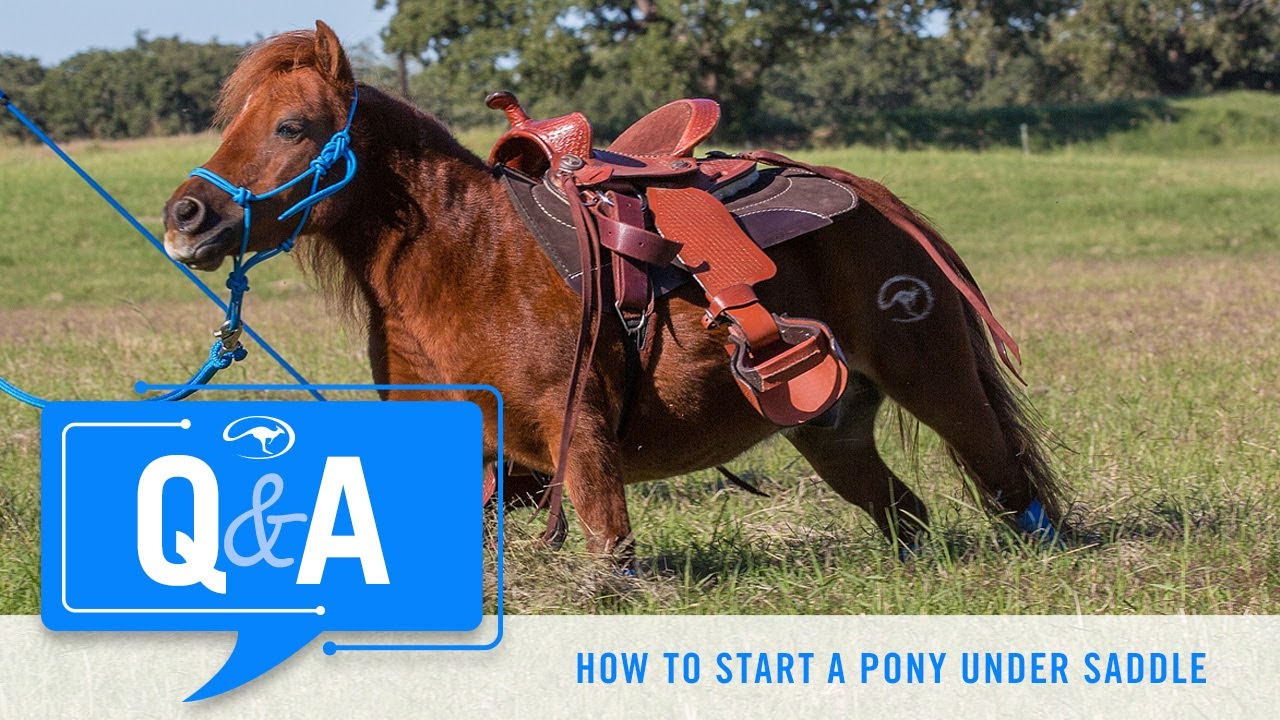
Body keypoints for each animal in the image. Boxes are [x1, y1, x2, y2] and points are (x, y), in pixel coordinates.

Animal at [162, 22, 1064, 566]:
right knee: (907, 516)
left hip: (939, 384)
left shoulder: (584, 445)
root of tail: (874, 197)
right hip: (830, 428)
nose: (184, 216)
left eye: (291, 127)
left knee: (1014, 493)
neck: (463, 261)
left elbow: (610, 558)